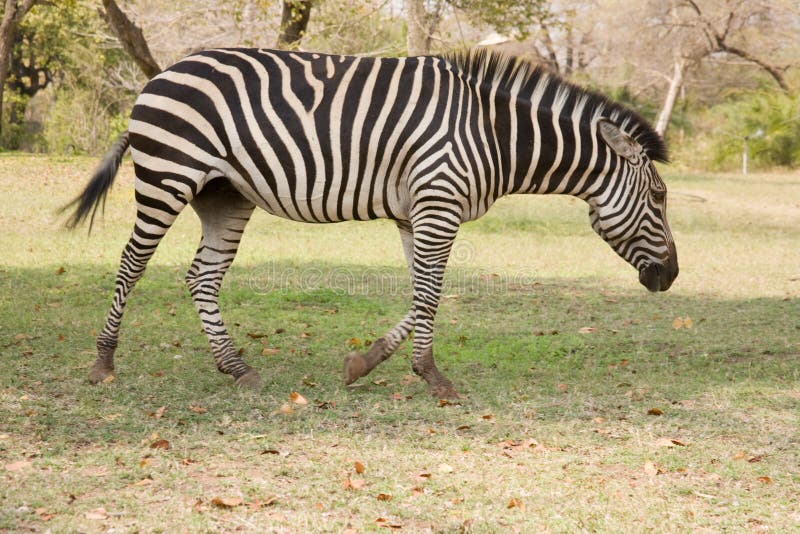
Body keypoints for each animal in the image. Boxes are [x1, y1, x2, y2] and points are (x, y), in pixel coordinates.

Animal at [65, 48, 678, 399]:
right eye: (661, 195)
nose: (671, 277)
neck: (492, 134)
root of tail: (159, 75)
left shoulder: (418, 211)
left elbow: (423, 291)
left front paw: (366, 362)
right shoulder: (438, 202)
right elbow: (431, 291)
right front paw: (430, 375)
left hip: (225, 195)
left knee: (202, 277)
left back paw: (237, 368)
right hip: (168, 177)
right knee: (132, 261)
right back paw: (103, 361)